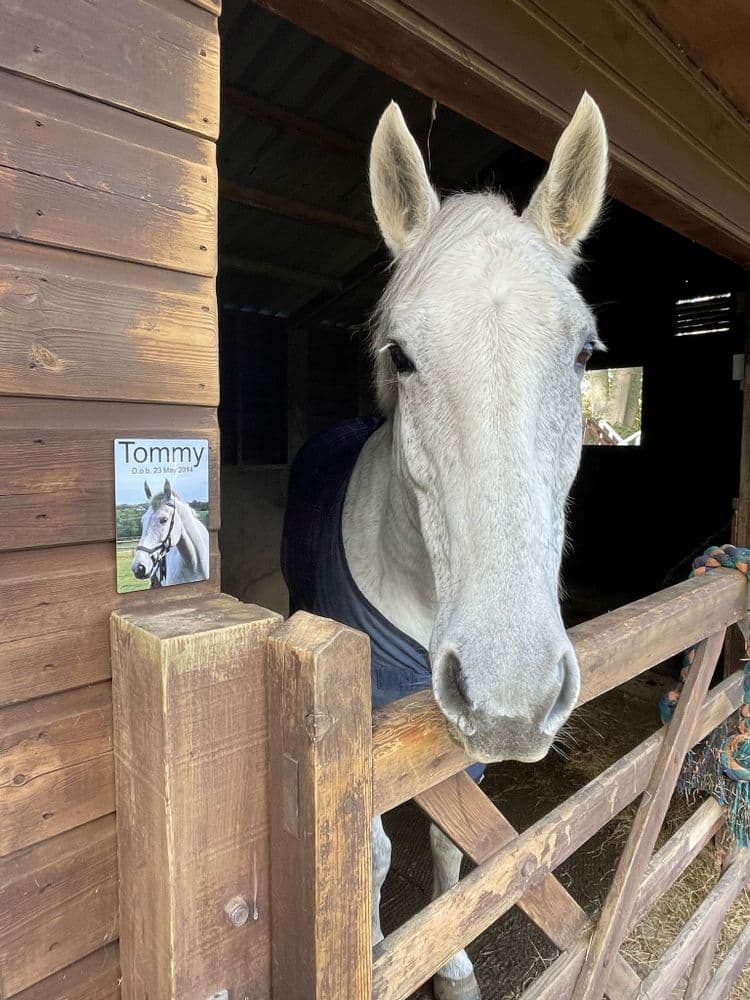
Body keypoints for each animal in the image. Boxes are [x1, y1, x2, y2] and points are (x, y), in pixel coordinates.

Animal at [282, 93, 608, 1000]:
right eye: (400, 354)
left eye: (585, 352)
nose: (512, 695)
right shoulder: (364, 741)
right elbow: (376, 851)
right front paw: (378, 954)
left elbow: (454, 838)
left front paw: (453, 962)